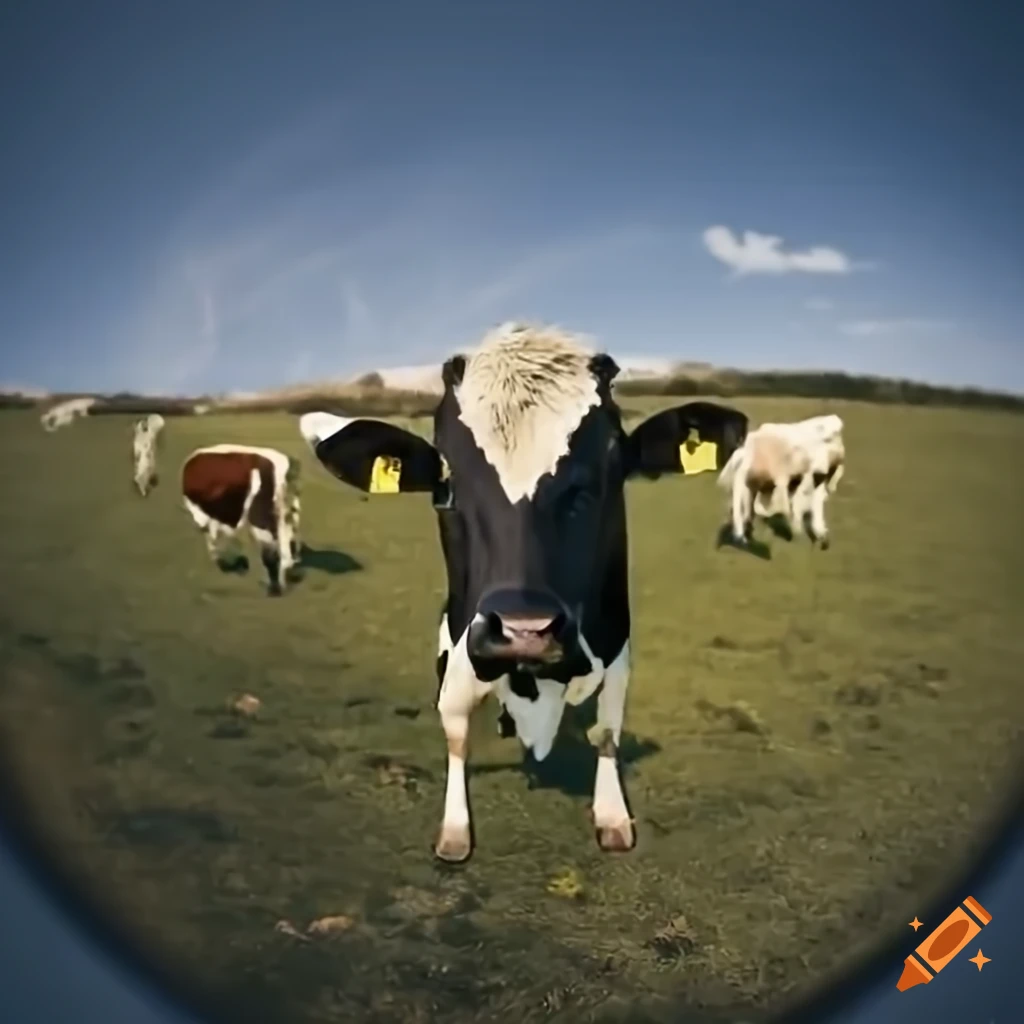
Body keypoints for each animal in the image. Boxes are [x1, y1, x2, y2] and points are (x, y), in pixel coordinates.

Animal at [297, 321, 749, 862]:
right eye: (445, 487)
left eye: (609, 473)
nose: (523, 630)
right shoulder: (459, 659)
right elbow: (456, 735)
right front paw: (455, 831)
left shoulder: (618, 650)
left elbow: (607, 732)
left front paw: (612, 815)